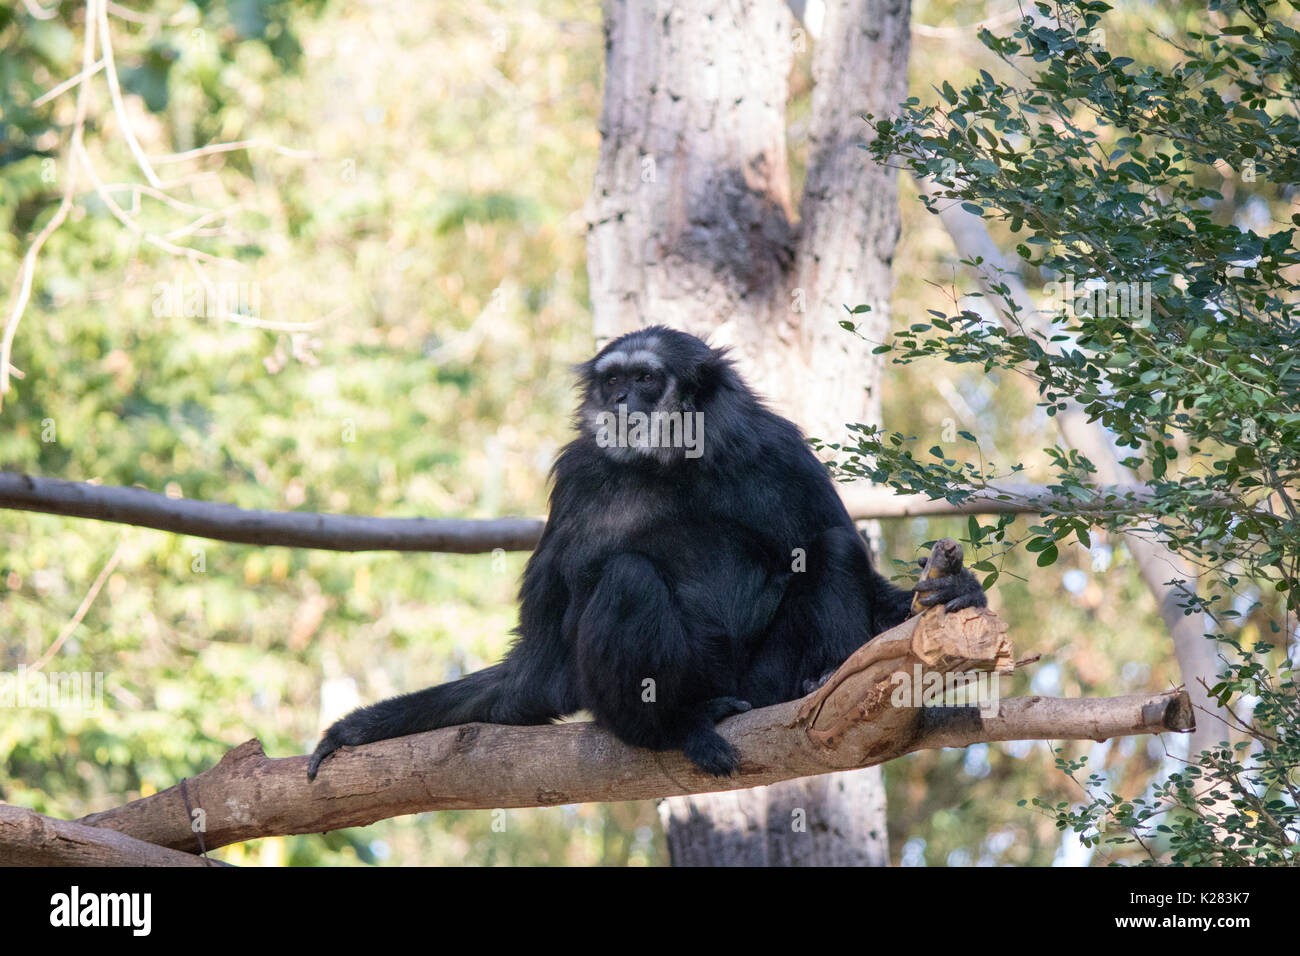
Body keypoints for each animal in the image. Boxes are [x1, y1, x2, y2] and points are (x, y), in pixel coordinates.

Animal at [308, 325, 986, 779]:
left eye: (644, 379)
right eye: (612, 380)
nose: (619, 401)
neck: (673, 463)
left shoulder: (780, 449)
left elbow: (846, 558)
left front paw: (957, 591)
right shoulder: (577, 476)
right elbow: (538, 667)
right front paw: (355, 731)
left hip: (760, 679)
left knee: (834, 546)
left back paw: (814, 680)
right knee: (628, 578)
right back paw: (677, 726)